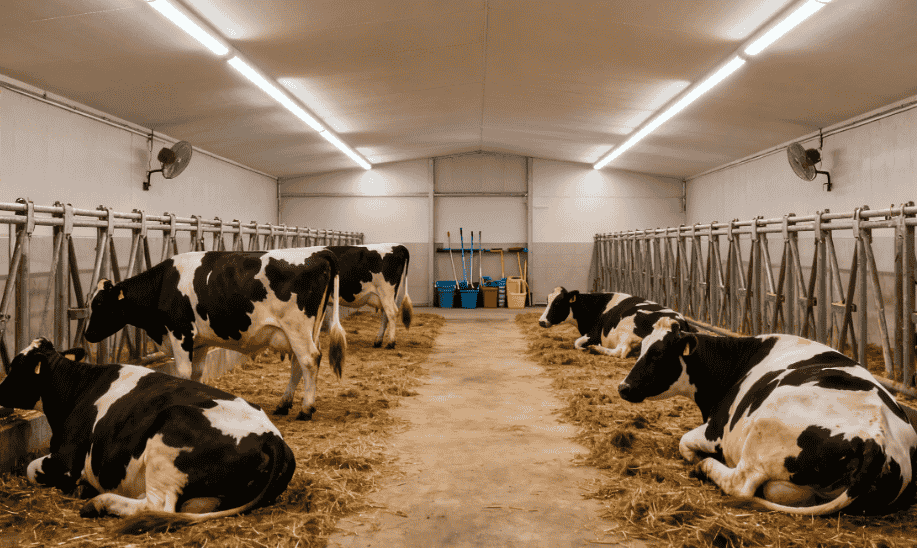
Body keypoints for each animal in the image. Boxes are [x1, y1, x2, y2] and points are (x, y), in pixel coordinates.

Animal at [0, 338, 296, 532]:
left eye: (15, 366)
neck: (77, 389)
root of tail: (272, 437)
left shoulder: (66, 460)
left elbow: (30, 468)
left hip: (167, 442)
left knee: (157, 506)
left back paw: (99, 503)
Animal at [84, 247, 346, 420]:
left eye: (100, 304)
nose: (87, 335)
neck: (163, 286)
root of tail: (318, 253)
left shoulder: (180, 334)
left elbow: (183, 372)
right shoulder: (200, 342)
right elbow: (198, 372)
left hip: (296, 327)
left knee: (309, 360)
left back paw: (306, 409)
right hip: (304, 331)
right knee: (298, 364)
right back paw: (284, 404)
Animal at [538, 287, 695, 358]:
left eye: (558, 303)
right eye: (547, 301)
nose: (541, 322)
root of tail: (680, 321)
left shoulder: (594, 334)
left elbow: (576, 343)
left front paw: (587, 347)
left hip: (626, 331)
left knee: (621, 351)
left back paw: (595, 349)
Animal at [617, 325, 917, 515]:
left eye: (657, 353)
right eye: (640, 349)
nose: (623, 387)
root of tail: (876, 439)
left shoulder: (715, 430)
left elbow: (683, 442)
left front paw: (699, 459)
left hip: (764, 430)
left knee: (740, 483)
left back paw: (705, 467)